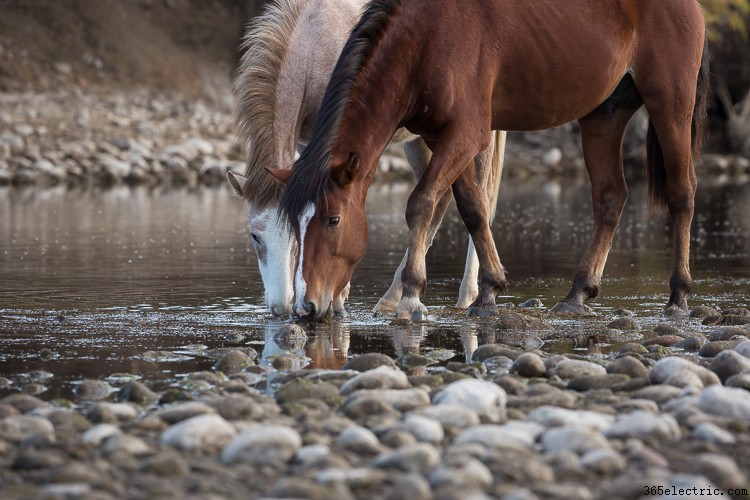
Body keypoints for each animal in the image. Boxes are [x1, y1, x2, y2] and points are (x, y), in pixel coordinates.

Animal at [231, 0, 506, 316]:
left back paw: (466, 296)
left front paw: (338, 299)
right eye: (254, 235)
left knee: (480, 199)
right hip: (421, 139)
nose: (281, 307)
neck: (313, 48)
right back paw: (391, 299)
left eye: (293, 236)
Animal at [272, 0, 712, 320]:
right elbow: (473, 209)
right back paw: (577, 294)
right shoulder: (445, 137)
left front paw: (412, 296)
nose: (308, 306)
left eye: (333, 220)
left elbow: (421, 203)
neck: (426, 38)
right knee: (610, 198)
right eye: (295, 223)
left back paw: (677, 297)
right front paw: (489, 290)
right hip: (604, 115)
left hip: (670, 105)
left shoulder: (465, 135)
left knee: (682, 194)